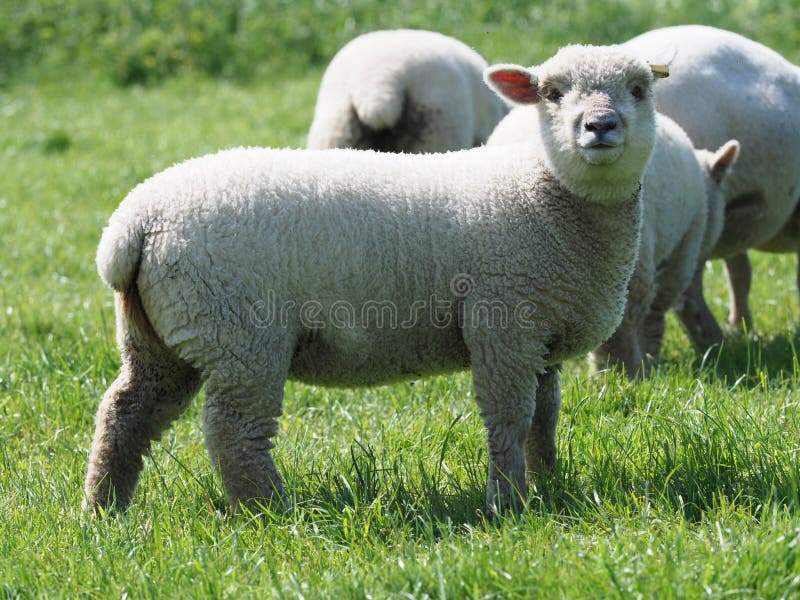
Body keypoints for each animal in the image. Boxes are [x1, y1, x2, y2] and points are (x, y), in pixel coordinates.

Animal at [85, 45, 661, 516]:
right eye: (551, 93)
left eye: (639, 90)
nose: (601, 125)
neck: (546, 195)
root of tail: (134, 223)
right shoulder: (504, 328)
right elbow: (510, 420)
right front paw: (509, 503)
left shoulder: (544, 337)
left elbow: (545, 418)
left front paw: (549, 485)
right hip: (239, 334)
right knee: (234, 432)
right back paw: (269, 513)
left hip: (162, 335)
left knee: (126, 414)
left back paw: (104, 511)